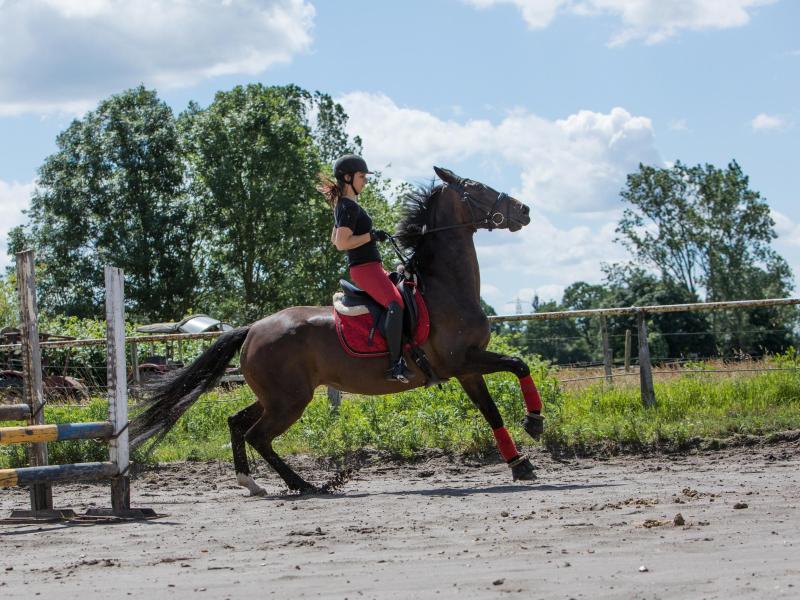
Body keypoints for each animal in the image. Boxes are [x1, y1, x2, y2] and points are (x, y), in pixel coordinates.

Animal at [130, 166, 545, 494]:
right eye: (477, 187)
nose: (524, 210)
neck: (443, 286)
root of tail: (251, 329)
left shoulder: (468, 369)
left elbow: (491, 411)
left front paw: (520, 463)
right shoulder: (463, 361)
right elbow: (518, 364)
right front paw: (535, 423)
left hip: (277, 396)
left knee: (237, 423)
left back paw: (253, 483)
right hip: (289, 401)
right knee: (257, 436)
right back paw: (305, 485)